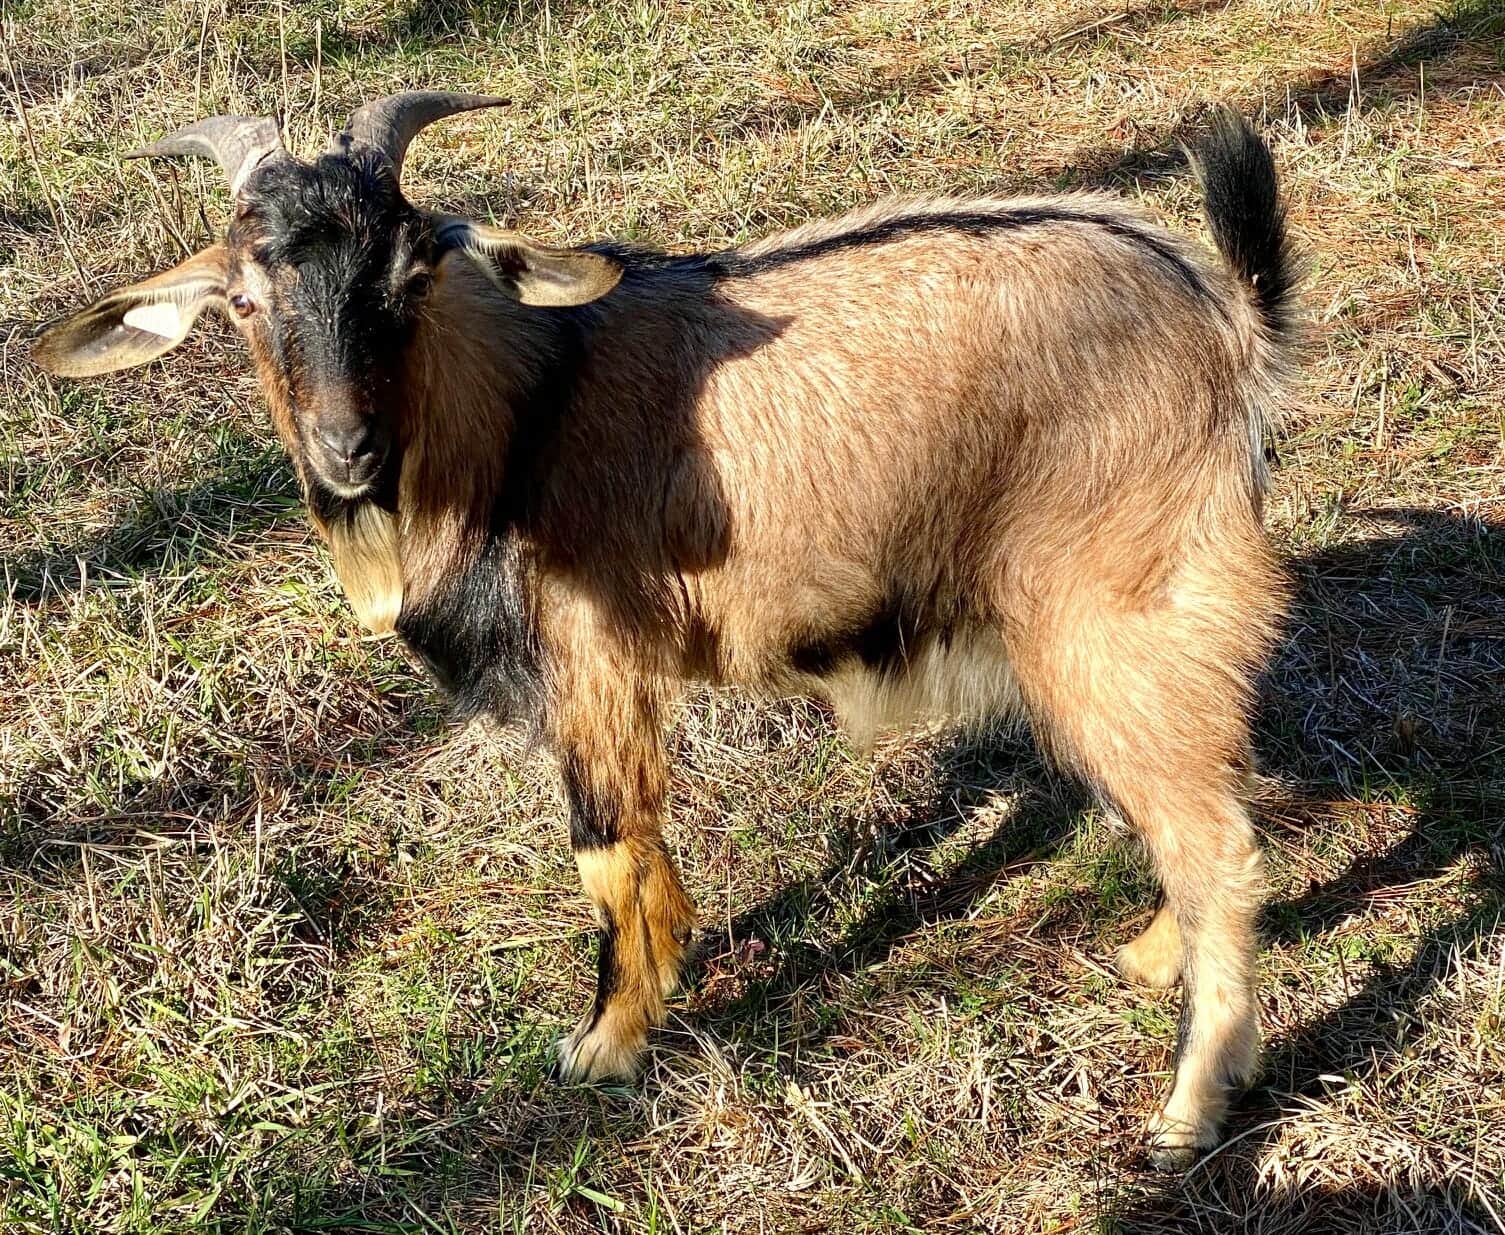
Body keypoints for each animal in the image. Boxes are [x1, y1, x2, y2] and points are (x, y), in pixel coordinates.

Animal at [33, 93, 1297, 1169]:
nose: (348, 449)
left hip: (1116, 614)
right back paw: (1152, 953)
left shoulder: (590, 663)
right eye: (244, 300)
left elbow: (606, 848)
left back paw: (1189, 1104)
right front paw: (665, 976)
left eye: (411, 272)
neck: (513, 418)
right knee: (1181, 808)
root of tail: (1224, 316)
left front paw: (604, 1040)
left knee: (1217, 840)